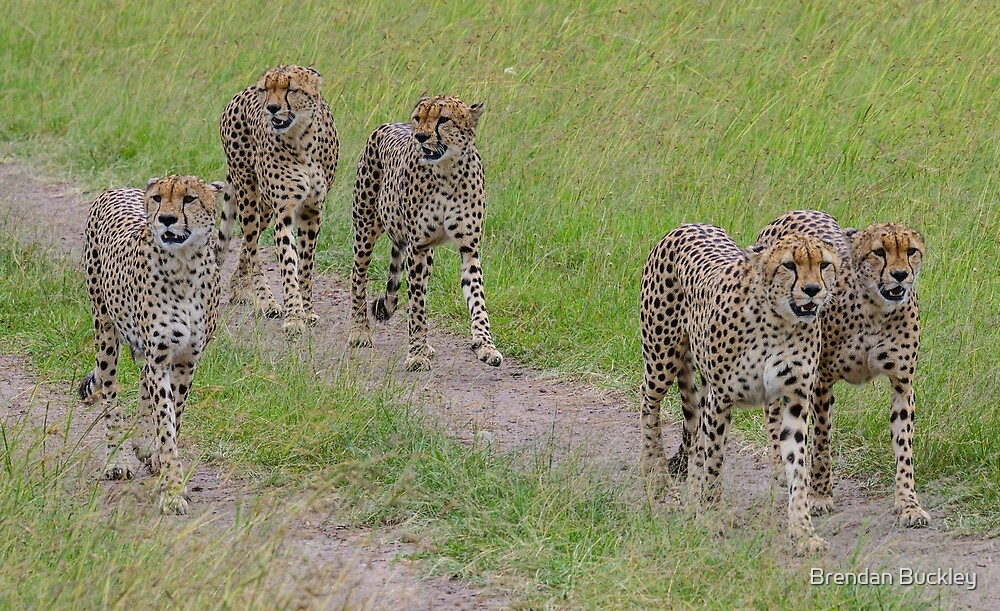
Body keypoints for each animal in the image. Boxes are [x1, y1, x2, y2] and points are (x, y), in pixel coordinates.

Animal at [78, 175, 225, 515]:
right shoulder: (160, 359)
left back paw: (144, 446)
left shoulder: (185, 361)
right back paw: (117, 460)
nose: (166, 219)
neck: (185, 266)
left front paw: (161, 462)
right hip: (104, 330)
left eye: (189, 199)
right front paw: (172, 492)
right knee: (111, 397)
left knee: (142, 384)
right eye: (158, 198)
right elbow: (166, 424)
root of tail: (116, 188)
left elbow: (174, 418)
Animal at [217, 64, 339, 333]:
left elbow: (305, 266)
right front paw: (294, 316)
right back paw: (265, 301)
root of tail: (240, 92)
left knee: (247, 245)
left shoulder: (312, 211)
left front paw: (307, 310)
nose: (272, 108)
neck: (302, 140)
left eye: (291, 89)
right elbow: (288, 263)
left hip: (263, 207)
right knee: (251, 245)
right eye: (267, 89)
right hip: (248, 195)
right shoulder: (284, 212)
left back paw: (239, 289)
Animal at [347, 96, 503, 371]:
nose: (420, 136)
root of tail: (389, 124)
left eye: (443, 119)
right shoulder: (417, 247)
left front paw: (486, 345)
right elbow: (417, 305)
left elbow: (477, 300)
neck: (447, 172)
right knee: (358, 276)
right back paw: (359, 331)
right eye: (418, 118)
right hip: (365, 228)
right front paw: (417, 353)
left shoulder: (469, 248)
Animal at [640, 223, 840, 554]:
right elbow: (715, 462)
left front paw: (803, 531)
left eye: (824, 264)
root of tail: (689, 224)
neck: (779, 322)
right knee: (648, 402)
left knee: (694, 437)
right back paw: (654, 476)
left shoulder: (795, 401)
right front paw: (709, 517)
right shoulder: (721, 400)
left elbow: (797, 469)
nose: (813, 290)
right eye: (789, 265)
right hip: (661, 358)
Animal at [754, 210, 929, 527]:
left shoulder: (902, 382)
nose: (900, 274)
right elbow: (821, 440)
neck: (875, 309)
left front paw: (908, 503)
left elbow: (904, 447)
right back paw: (780, 468)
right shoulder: (821, 381)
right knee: (772, 416)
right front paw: (819, 495)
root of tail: (795, 210)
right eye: (879, 252)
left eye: (911, 251)